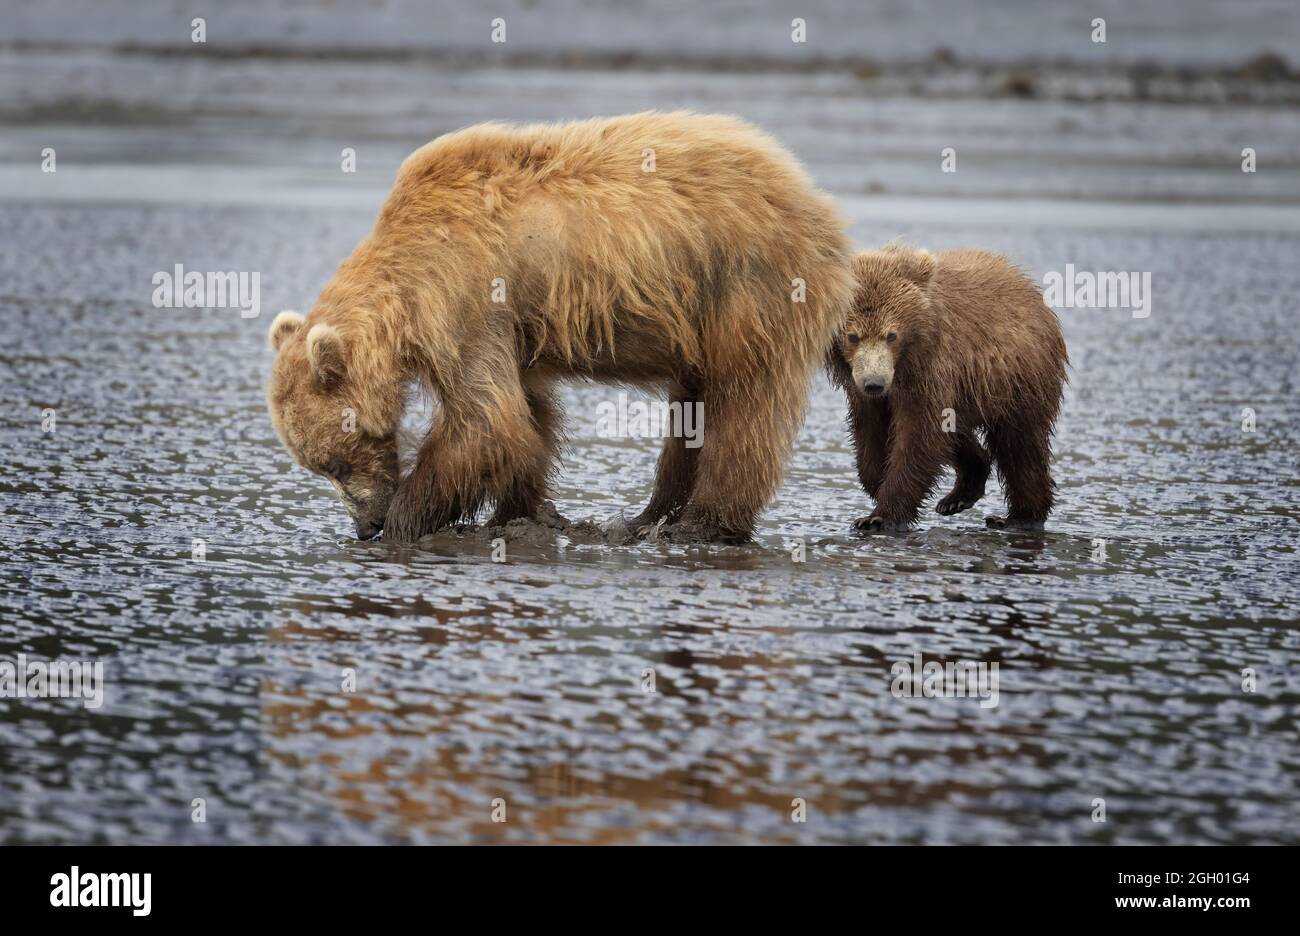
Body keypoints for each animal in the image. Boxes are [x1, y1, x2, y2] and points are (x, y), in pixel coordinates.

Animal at [267, 111, 855, 543]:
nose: (364, 524)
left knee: (742, 401)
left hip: (745, 284)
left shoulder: (464, 296)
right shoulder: (511, 326)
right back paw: (649, 516)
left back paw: (699, 524)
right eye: (319, 466)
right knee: (694, 406)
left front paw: (406, 521)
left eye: (337, 461)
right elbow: (527, 416)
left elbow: (483, 421)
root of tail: (819, 204)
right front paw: (521, 513)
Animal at [827, 244, 1068, 531]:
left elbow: (919, 436)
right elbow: (870, 433)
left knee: (1020, 445)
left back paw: (1018, 517)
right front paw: (877, 482)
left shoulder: (933, 371)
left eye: (891, 335)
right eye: (852, 336)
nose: (874, 383)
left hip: (1019, 378)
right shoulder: (865, 392)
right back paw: (961, 494)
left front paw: (879, 515)